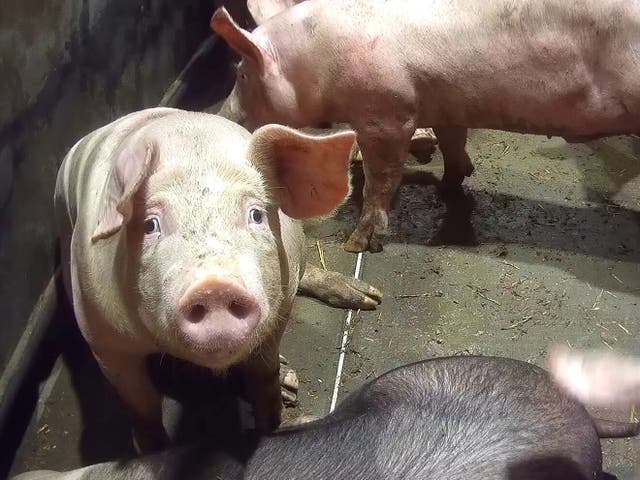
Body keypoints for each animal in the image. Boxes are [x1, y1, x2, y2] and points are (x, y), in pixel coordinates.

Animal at [54, 107, 374, 453]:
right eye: (150, 225)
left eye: (257, 215)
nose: (214, 288)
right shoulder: (102, 338)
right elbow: (142, 407)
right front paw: (152, 452)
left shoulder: (281, 309)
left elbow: (264, 379)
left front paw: (279, 418)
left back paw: (368, 298)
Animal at [211, 0, 640, 253]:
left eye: (241, 73)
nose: (222, 115)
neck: (317, 65)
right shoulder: (447, 103)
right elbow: (452, 144)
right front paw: (449, 184)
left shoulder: (387, 113)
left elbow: (381, 177)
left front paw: (357, 244)